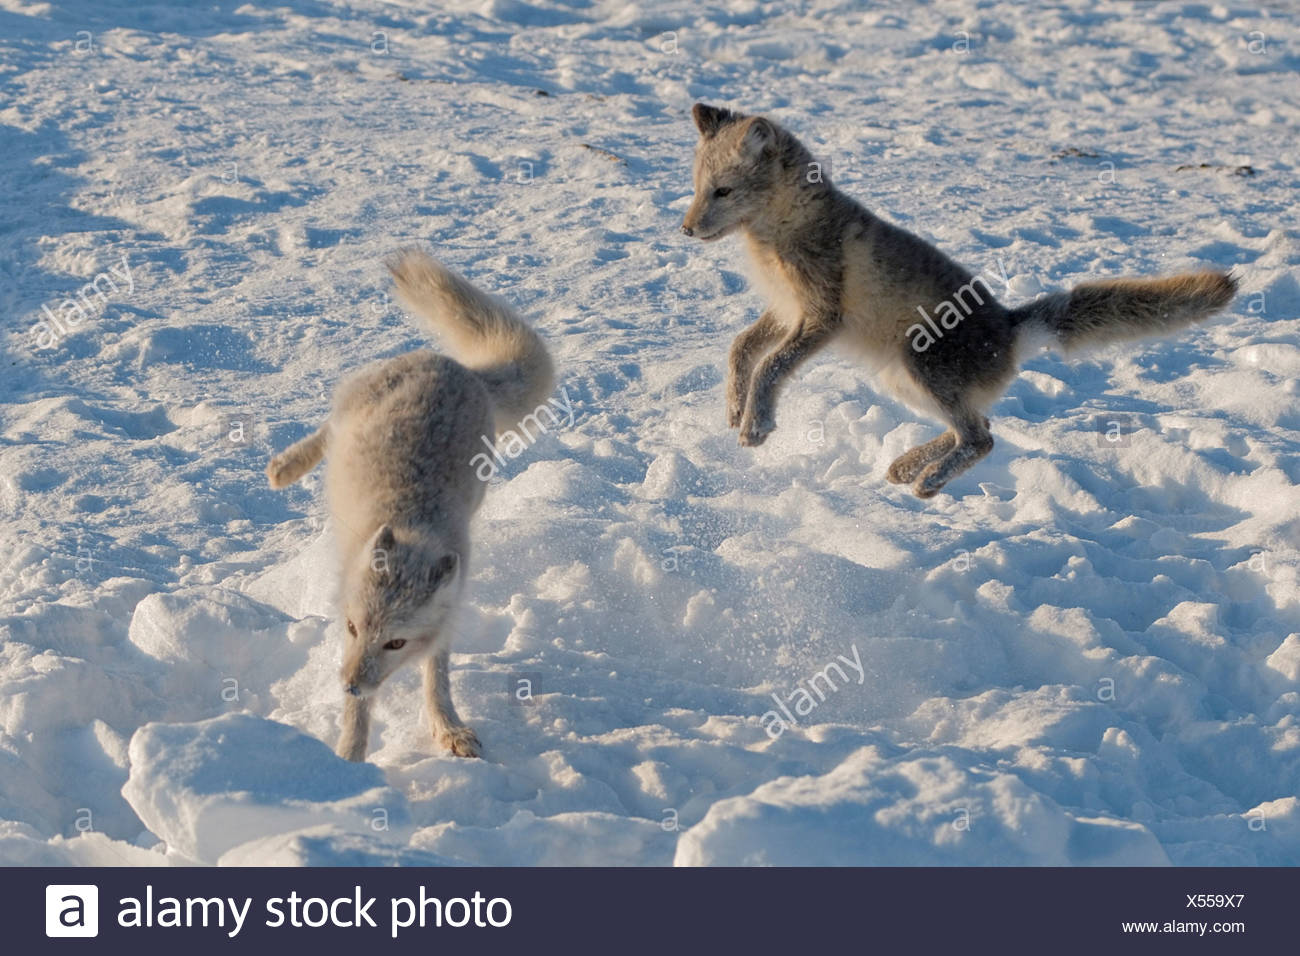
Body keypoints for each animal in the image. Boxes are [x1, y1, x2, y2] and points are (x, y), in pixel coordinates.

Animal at [266, 248, 554, 762]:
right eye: (353, 627)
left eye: (396, 642)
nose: (349, 684)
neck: (413, 524)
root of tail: (459, 369)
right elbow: (360, 715)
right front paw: (349, 760)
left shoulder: (446, 616)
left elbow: (436, 678)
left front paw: (448, 728)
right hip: (348, 410)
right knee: (325, 431)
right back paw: (284, 468)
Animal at [681, 103, 1238, 498]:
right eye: (698, 187)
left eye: (723, 191)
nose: (684, 229)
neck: (780, 233)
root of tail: (1011, 326)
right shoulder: (786, 311)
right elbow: (742, 349)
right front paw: (735, 407)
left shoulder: (820, 317)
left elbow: (771, 366)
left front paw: (757, 425)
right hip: (902, 380)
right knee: (980, 425)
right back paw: (909, 467)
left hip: (921, 362)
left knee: (981, 437)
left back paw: (927, 480)